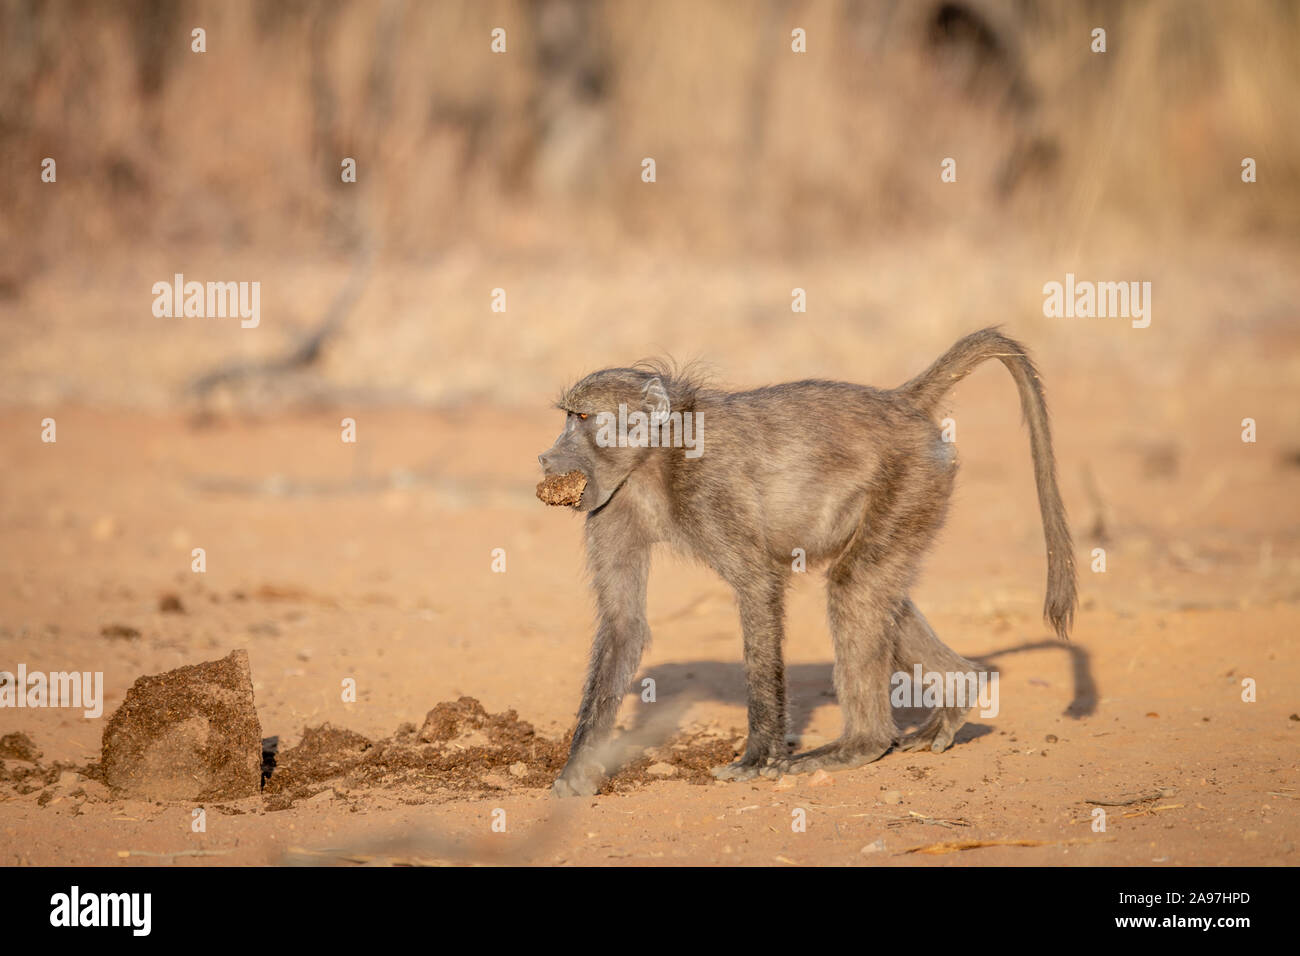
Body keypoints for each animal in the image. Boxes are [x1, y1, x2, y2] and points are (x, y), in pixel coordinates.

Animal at [537, 328, 1076, 797]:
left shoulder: (710, 485)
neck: (655, 456)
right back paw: (958, 694)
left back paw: (861, 744)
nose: (545, 458)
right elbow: (623, 623)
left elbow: (758, 587)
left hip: (915, 479)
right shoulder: (610, 504)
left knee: (853, 586)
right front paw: (577, 772)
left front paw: (759, 758)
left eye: (580, 418)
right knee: (878, 594)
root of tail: (899, 402)